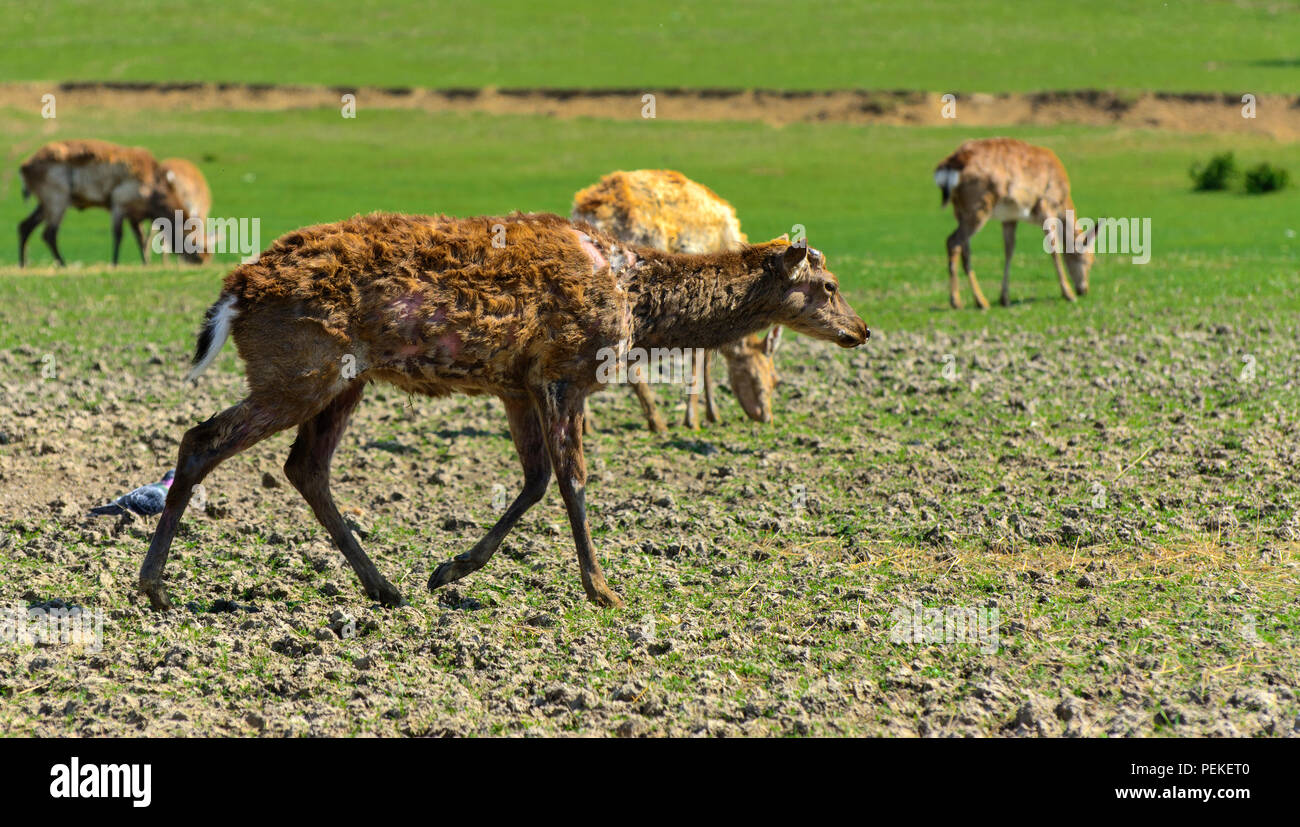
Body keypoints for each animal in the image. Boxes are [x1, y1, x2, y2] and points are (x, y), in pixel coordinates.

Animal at [17, 139, 204, 267]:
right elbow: (118, 235)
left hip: (46, 202)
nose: (204, 258)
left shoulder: (135, 214)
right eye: (194, 241)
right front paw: (114, 263)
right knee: (49, 233)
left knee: (24, 226)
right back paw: (63, 264)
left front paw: (146, 263)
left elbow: (141, 238)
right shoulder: (118, 202)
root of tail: (23, 167)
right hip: (57, 197)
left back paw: (23, 263)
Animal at [138, 211, 869, 611]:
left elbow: (536, 478)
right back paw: (153, 586)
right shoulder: (566, 369)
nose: (861, 330)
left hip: (340, 379)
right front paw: (601, 587)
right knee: (202, 439)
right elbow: (572, 479)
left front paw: (448, 570)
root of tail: (233, 293)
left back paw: (385, 586)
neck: (636, 301)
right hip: (299, 368)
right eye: (829, 285)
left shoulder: (516, 383)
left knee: (304, 467)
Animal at [572, 169, 782, 432]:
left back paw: (587, 423)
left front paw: (712, 414)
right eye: (773, 378)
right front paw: (695, 418)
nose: (767, 417)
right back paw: (656, 421)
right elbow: (699, 355)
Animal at [934, 138, 1095, 309]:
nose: (1083, 290)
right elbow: (1053, 248)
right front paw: (1068, 294)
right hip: (979, 205)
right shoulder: (1045, 205)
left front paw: (1004, 298)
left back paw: (981, 301)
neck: (1062, 198)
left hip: (959, 210)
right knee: (953, 241)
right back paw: (956, 301)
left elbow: (1009, 250)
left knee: (965, 250)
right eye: (1089, 260)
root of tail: (949, 165)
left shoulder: (1009, 218)